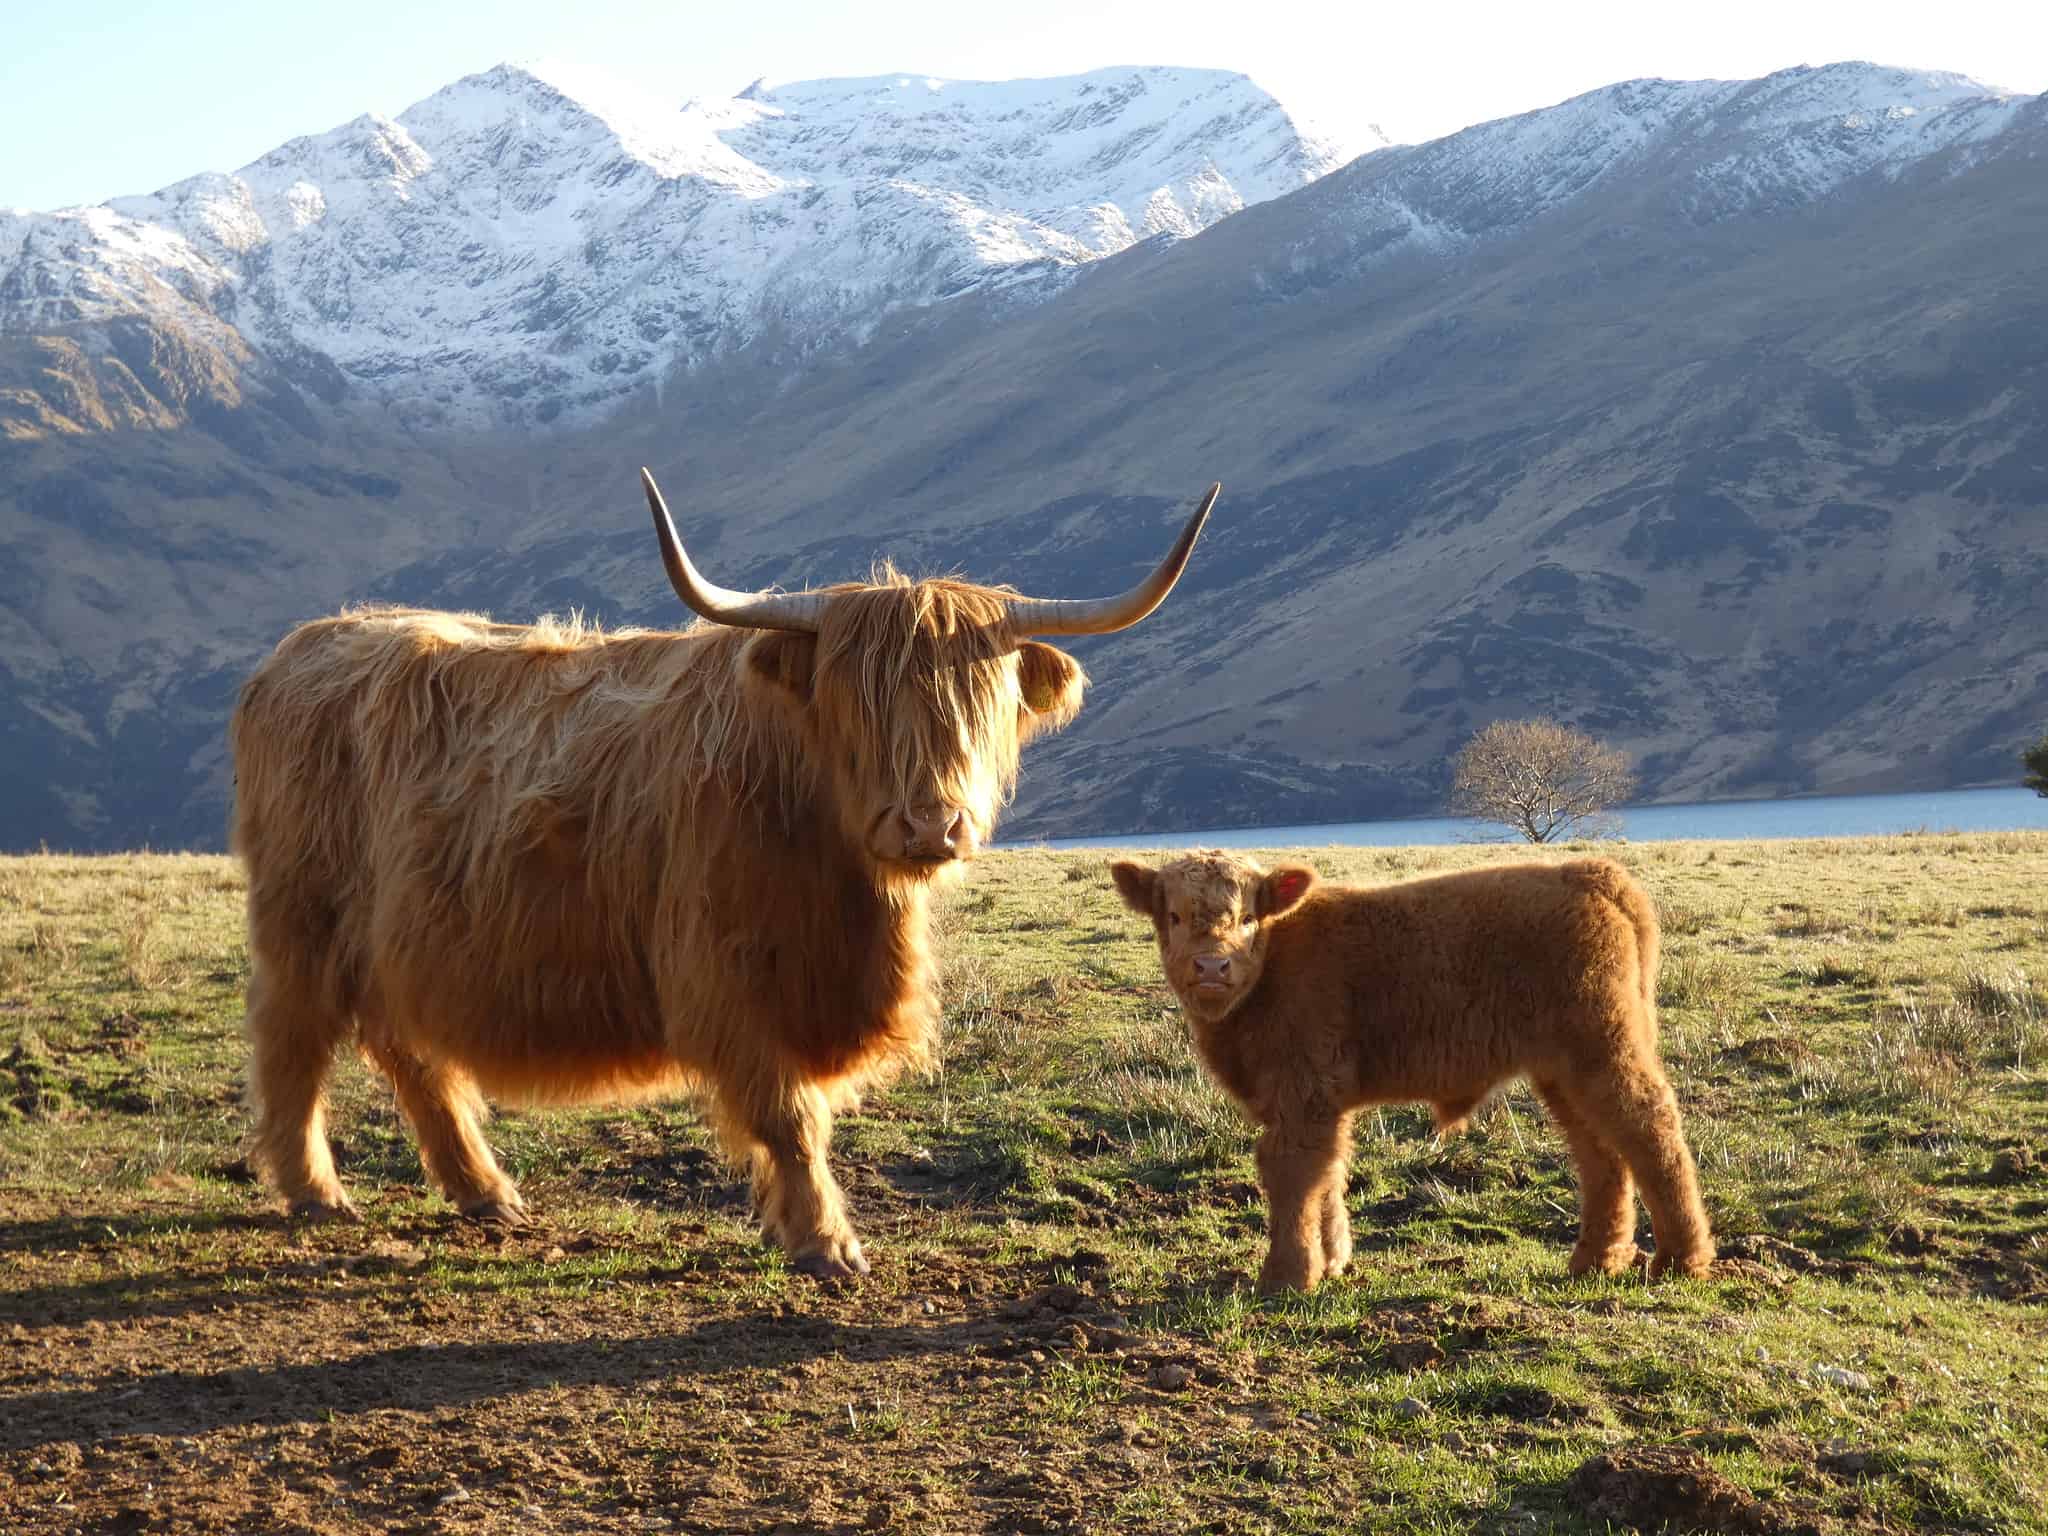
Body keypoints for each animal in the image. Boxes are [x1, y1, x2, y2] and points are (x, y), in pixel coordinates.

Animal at [230, 469, 1220, 1278]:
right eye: (855, 702)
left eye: (981, 700)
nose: (930, 824)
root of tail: (307, 644)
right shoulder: (723, 974)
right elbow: (789, 1116)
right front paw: (826, 1243)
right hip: (300, 919)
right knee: (293, 1041)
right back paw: (317, 1193)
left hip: (396, 938)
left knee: (409, 1051)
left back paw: (485, 1192)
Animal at [1109, 852, 1714, 1293]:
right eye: (1174, 916)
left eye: (1248, 917)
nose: (1213, 965)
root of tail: (1589, 872)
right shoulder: (1321, 1104)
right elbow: (1328, 1174)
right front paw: (1331, 1262)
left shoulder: (1303, 1097)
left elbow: (1293, 1176)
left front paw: (1286, 1277)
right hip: (1564, 1070)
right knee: (1600, 1152)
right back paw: (1595, 1260)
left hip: (1603, 1050)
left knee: (1649, 1129)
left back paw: (1680, 1259)